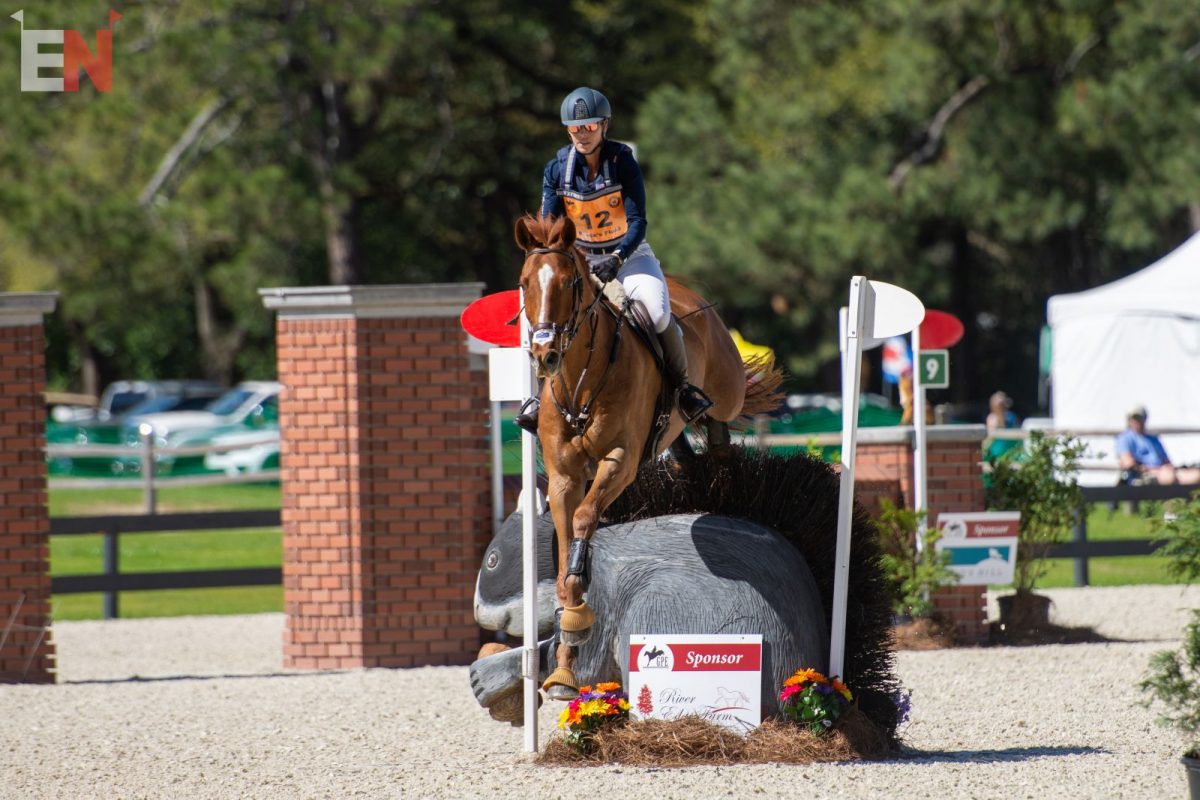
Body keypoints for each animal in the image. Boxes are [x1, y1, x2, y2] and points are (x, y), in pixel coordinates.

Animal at [513, 213, 783, 699]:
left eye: (569, 283)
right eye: (525, 284)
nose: (545, 355)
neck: (581, 381)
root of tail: (686, 292)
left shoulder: (619, 462)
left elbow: (584, 519)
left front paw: (578, 608)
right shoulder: (563, 477)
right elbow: (563, 551)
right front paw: (564, 664)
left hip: (727, 388)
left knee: (719, 425)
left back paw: (719, 454)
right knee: (684, 450)